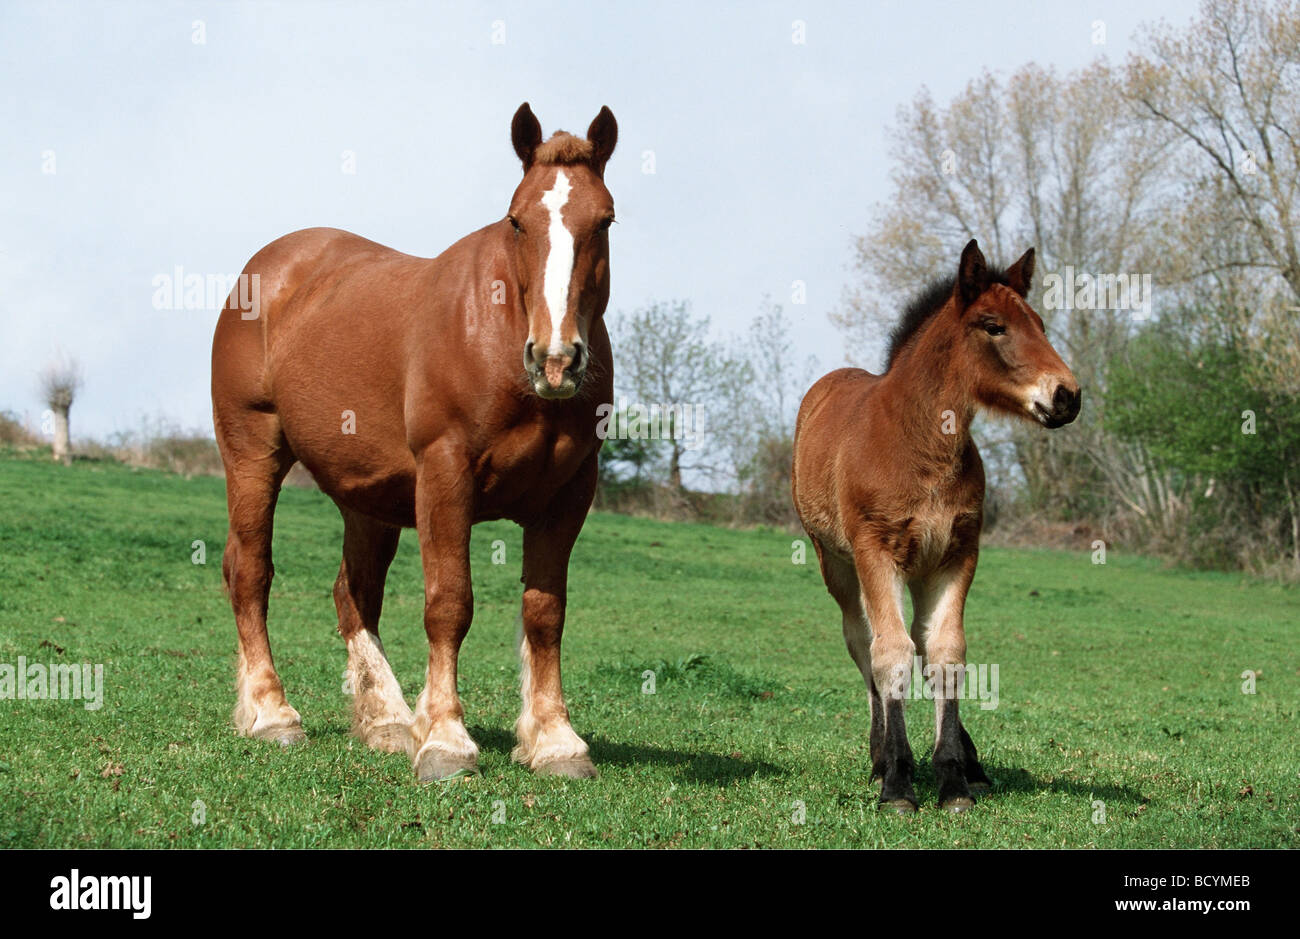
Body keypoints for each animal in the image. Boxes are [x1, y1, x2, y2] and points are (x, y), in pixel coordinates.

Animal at [210, 103, 618, 782]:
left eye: (605, 220)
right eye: (517, 220)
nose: (556, 359)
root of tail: (270, 267)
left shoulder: (569, 494)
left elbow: (545, 613)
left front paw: (556, 740)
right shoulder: (445, 474)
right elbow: (449, 604)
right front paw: (447, 740)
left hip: (368, 498)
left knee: (354, 597)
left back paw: (388, 720)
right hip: (252, 454)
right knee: (250, 571)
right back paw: (271, 712)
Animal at [791, 240, 1080, 813]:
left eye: (1039, 322)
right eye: (993, 326)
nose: (1067, 395)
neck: (919, 443)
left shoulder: (956, 556)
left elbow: (946, 653)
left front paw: (953, 779)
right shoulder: (875, 551)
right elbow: (889, 654)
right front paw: (898, 783)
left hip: (919, 571)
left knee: (923, 644)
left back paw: (967, 760)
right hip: (837, 563)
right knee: (863, 642)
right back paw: (880, 756)